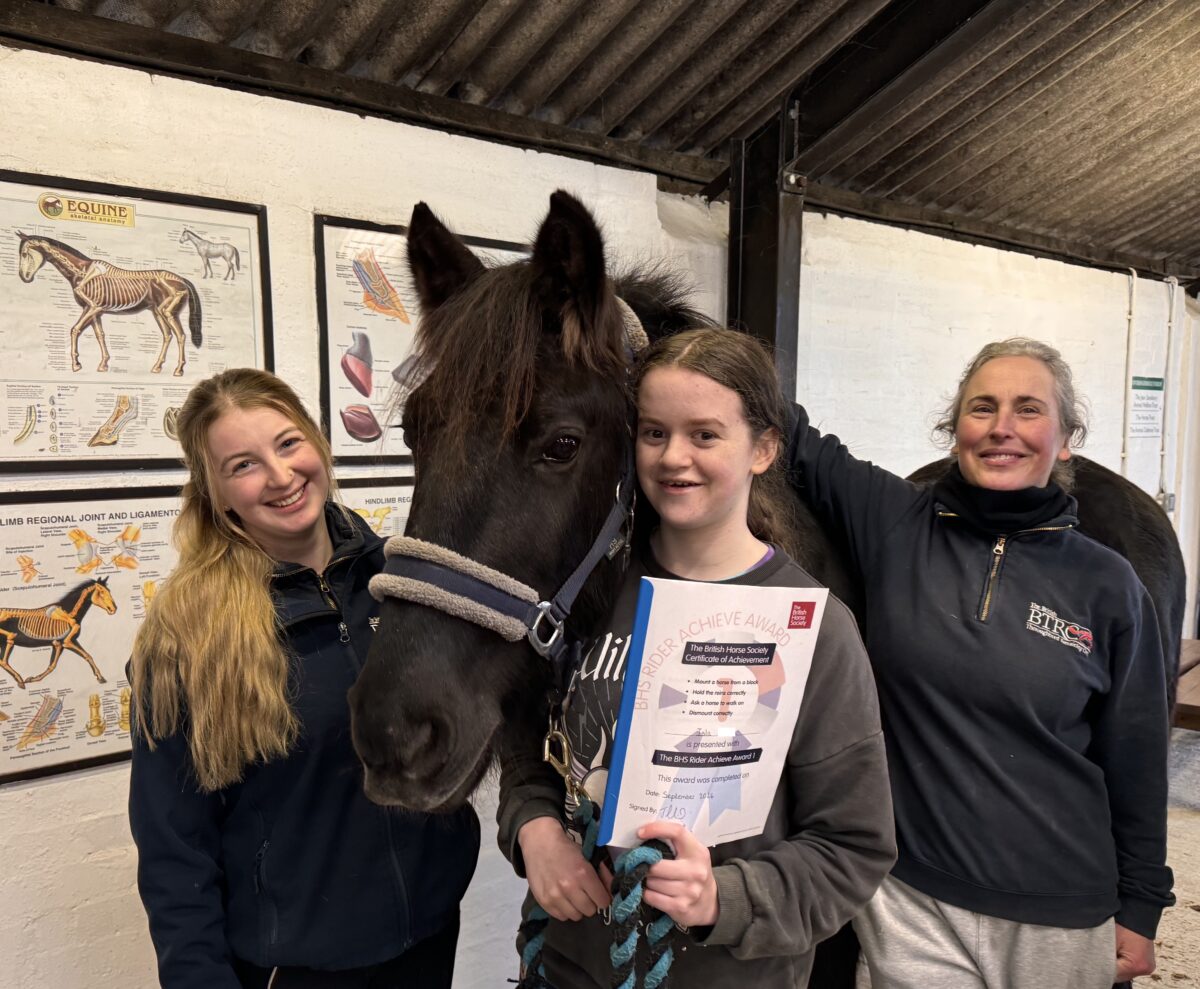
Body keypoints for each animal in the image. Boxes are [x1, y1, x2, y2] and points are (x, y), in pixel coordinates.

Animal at [17, 233, 202, 376]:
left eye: (24, 254)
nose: (24, 277)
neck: (81, 271)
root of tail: (182, 280)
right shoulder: (94, 311)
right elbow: (100, 335)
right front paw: (103, 364)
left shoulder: (93, 307)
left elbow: (75, 330)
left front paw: (76, 365)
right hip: (157, 312)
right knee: (168, 335)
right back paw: (157, 367)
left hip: (168, 312)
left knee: (180, 335)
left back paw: (178, 370)